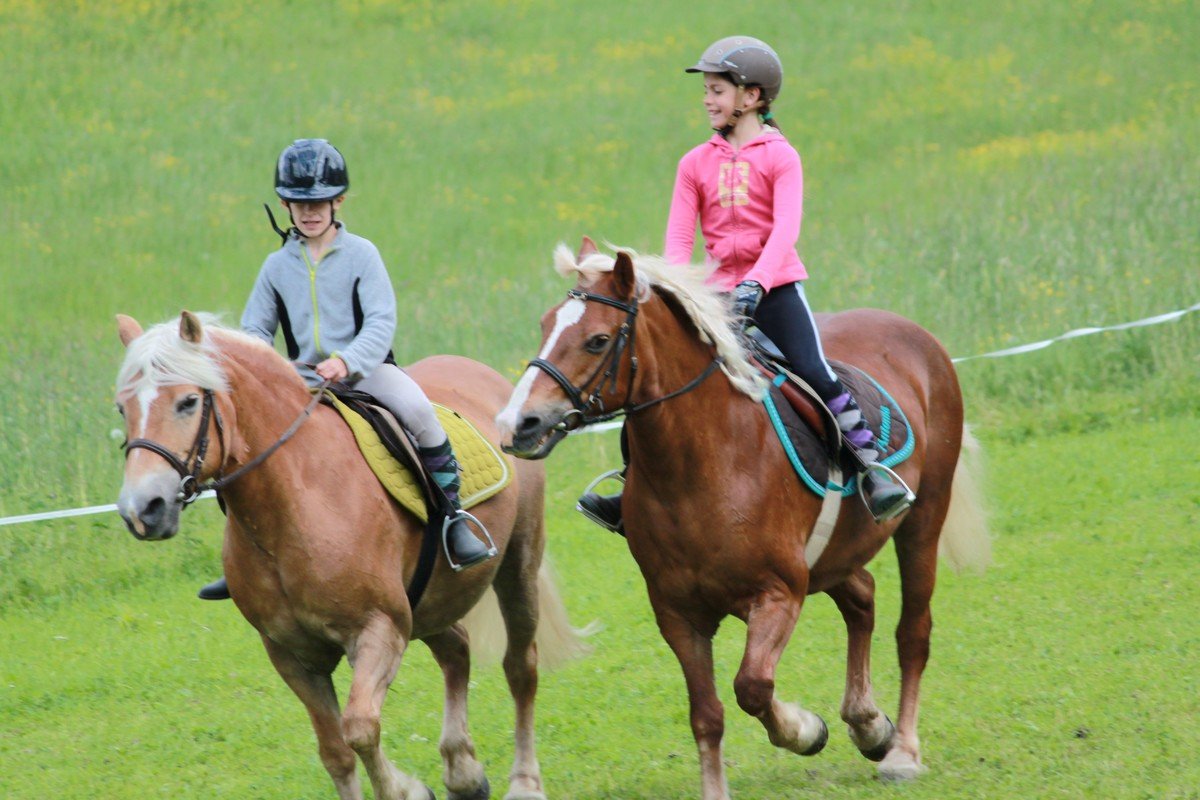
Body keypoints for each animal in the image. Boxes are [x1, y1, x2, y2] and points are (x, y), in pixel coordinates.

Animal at [114, 311, 587, 800]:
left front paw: (406, 791)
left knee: (521, 667)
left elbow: (359, 728)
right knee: (457, 650)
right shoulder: (291, 654)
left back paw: (525, 781)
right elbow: (335, 752)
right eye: (122, 408)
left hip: (517, 567)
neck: (296, 502)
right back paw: (464, 773)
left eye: (188, 402)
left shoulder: (379, 631)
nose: (142, 509)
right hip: (428, 600)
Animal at [495, 241, 990, 799]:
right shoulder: (678, 613)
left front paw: (806, 730)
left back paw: (902, 749)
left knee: (913, 631)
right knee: (861, 598)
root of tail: (918, 336)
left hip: (922, 520)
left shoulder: (778, 594)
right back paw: (869, 725)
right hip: (830, 558)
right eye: (545, 324)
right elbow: (707, 715)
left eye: (598, 340)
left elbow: (752, 686)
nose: (518, 424)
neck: (703, 464)